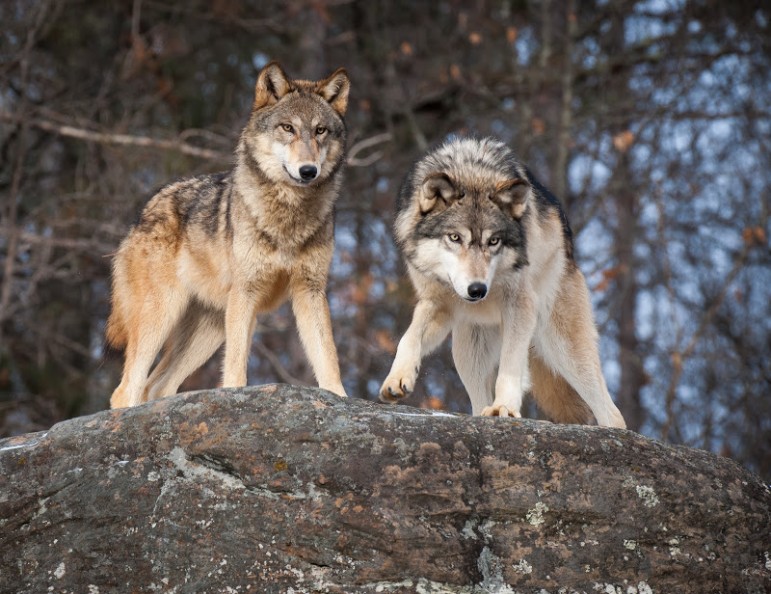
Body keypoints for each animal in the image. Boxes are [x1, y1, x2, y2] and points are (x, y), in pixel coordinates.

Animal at [106, 61, 350, 408]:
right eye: (288, 128)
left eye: (320, 131)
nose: (308, 171)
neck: (288, 216)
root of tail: (140, 216)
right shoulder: (246, 292)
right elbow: (235, 366)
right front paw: (237, 397)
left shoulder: (310, 291)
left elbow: (327, 355)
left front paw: (340, 397)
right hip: (161, 316)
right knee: (126, 389)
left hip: (208, 330)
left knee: (156, 387)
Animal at [380, 136, 626, 428]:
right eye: (455, 237)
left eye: (494, 241)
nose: (477, 290)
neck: (473, 173)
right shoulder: (438, 303)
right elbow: (408, 337)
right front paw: (397, 378)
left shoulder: (520, 306)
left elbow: (510, 366)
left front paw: (504, 407)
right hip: (467, 350)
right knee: (477, 399)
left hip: (563, 345)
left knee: (612, 413)